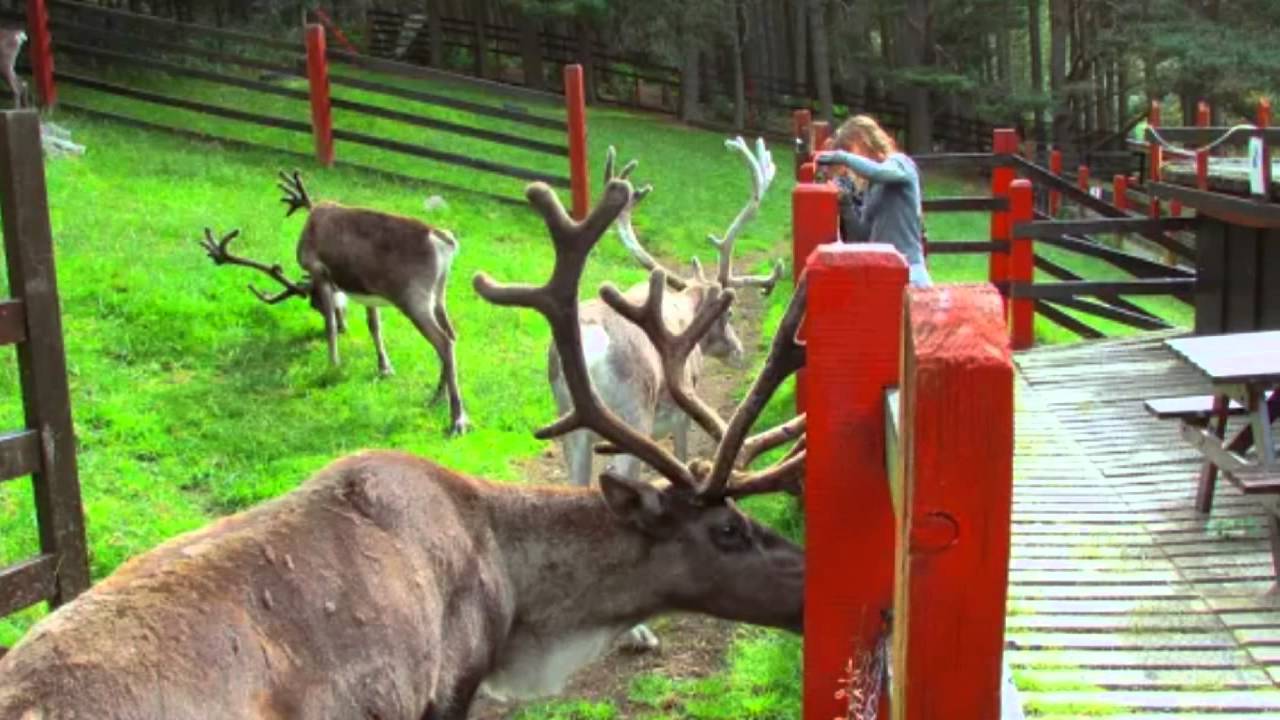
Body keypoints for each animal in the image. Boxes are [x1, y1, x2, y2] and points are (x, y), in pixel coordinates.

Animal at [199, 170, 470, 436]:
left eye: (314, 305)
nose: (344, 329)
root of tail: (445, 240)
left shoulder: (318, 269)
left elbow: (330, 321)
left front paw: (333, 365)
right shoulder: (366, 289)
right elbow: (374, 325)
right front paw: (384, 367)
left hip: (413, 299)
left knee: (443, 342)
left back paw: (457, 419)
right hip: (438, 295)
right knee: (452, 334)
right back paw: (438, 397)